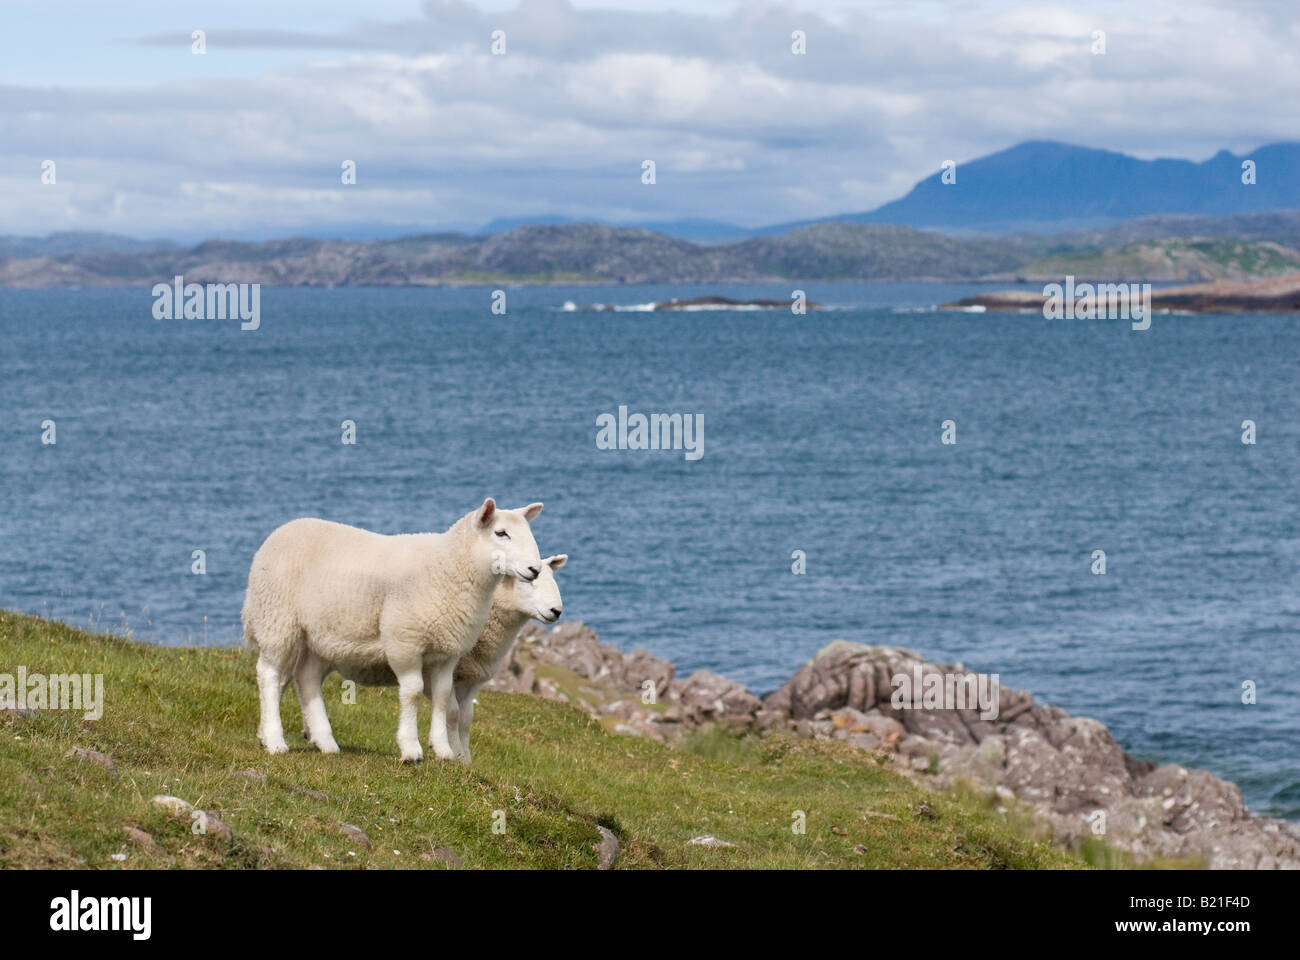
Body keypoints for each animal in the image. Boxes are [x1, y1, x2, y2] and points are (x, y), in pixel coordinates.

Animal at [241, 499, 544, 762]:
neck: (450, 567)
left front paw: (443, 751)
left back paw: (323, 741)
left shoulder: (447, 651)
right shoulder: (405, 640)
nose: (534, 570)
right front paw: (411, 749)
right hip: (278, 619)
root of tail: (281, 531)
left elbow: (443, 698)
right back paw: (275, 741)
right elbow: (412, 692)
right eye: (501, 533)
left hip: (320, 635)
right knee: (270, 675)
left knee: (305, 678)